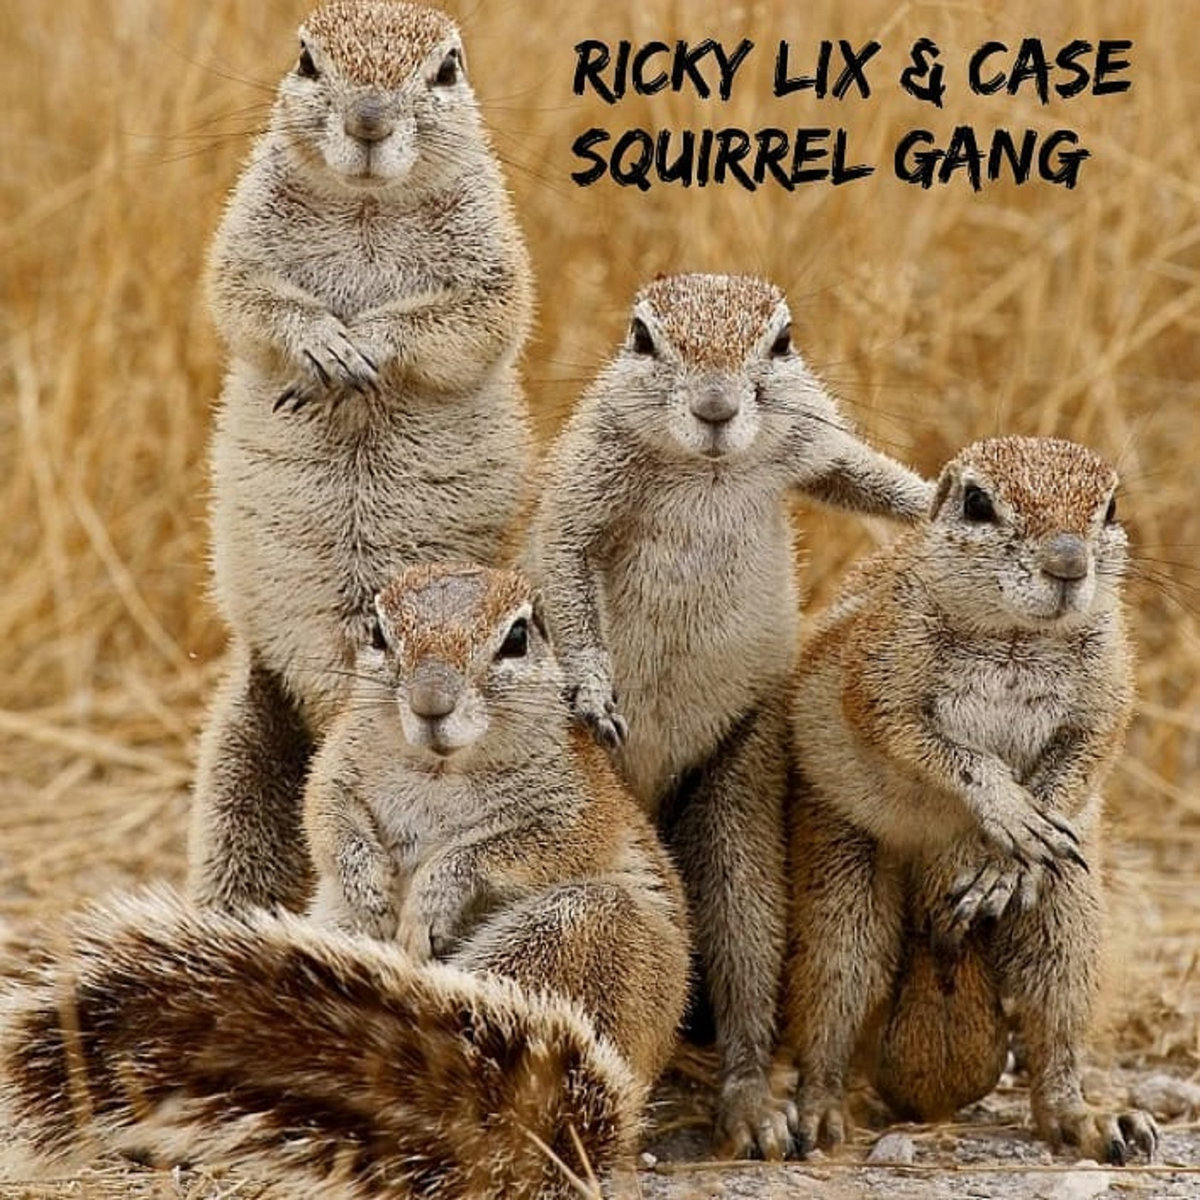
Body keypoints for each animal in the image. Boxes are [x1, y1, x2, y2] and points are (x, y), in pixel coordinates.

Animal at [0, 564, 690, 1198]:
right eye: (379, 632)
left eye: (517, 638)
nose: (431, 703)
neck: (438, 771)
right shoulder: (335, 767)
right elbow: (328, 821)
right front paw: (369, 884)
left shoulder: (575, 812)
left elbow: (507, 847)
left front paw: (434, 891)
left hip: (579, 929)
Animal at [189, 0, 534, 915]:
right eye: (308, 60)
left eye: (446, 68)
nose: (369, 121)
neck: (368, 209)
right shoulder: (243, 239)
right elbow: (244, 297)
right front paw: (321, 344)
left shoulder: (492, 259)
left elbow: (469, 318)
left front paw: (369, 344)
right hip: (243, 743)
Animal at [526, 272, 932, 1159]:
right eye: (643, 338)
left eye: (781, 342)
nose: (715, 407)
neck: (706, 469)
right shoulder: (587, 473)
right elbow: (564, 563)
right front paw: (594, 690)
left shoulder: (807, 437)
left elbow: (862, 472)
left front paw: (944, 496)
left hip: (740, 786)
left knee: (745, 941)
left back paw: (751, 1105)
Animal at [782, 436, 1159, 1165]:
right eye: (978, 503)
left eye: (1110, 506)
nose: (1069, 563)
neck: (1015, 637)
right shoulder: (879, 672)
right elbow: (932, 746)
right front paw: (1008, 810)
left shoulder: (1108, 690)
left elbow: (1085, 757)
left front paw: (1010, 863)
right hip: (841, 882)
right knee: (836, 996)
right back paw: (818, 1112)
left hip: (1070, 914)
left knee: (1054, 1022)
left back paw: (1091, 1120)